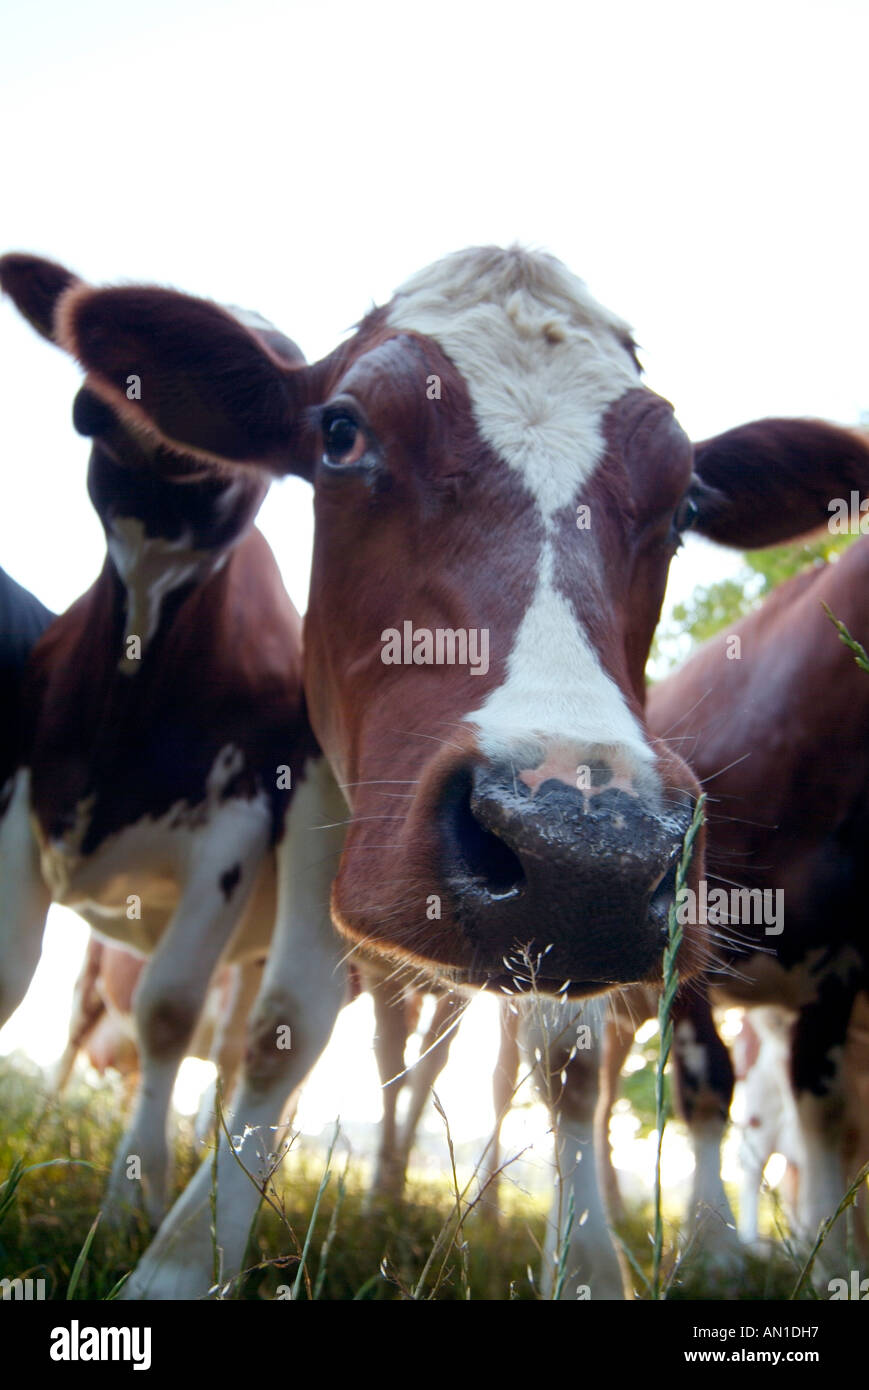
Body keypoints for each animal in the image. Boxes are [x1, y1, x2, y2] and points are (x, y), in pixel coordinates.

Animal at [17, 244, 869, 1298]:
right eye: (340, 432)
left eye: (687, 504)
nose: (582, 846)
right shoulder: (313, 799)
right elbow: (281, 1028)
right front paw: (180, 1257)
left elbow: (571, 1066)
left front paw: (588, 1263)